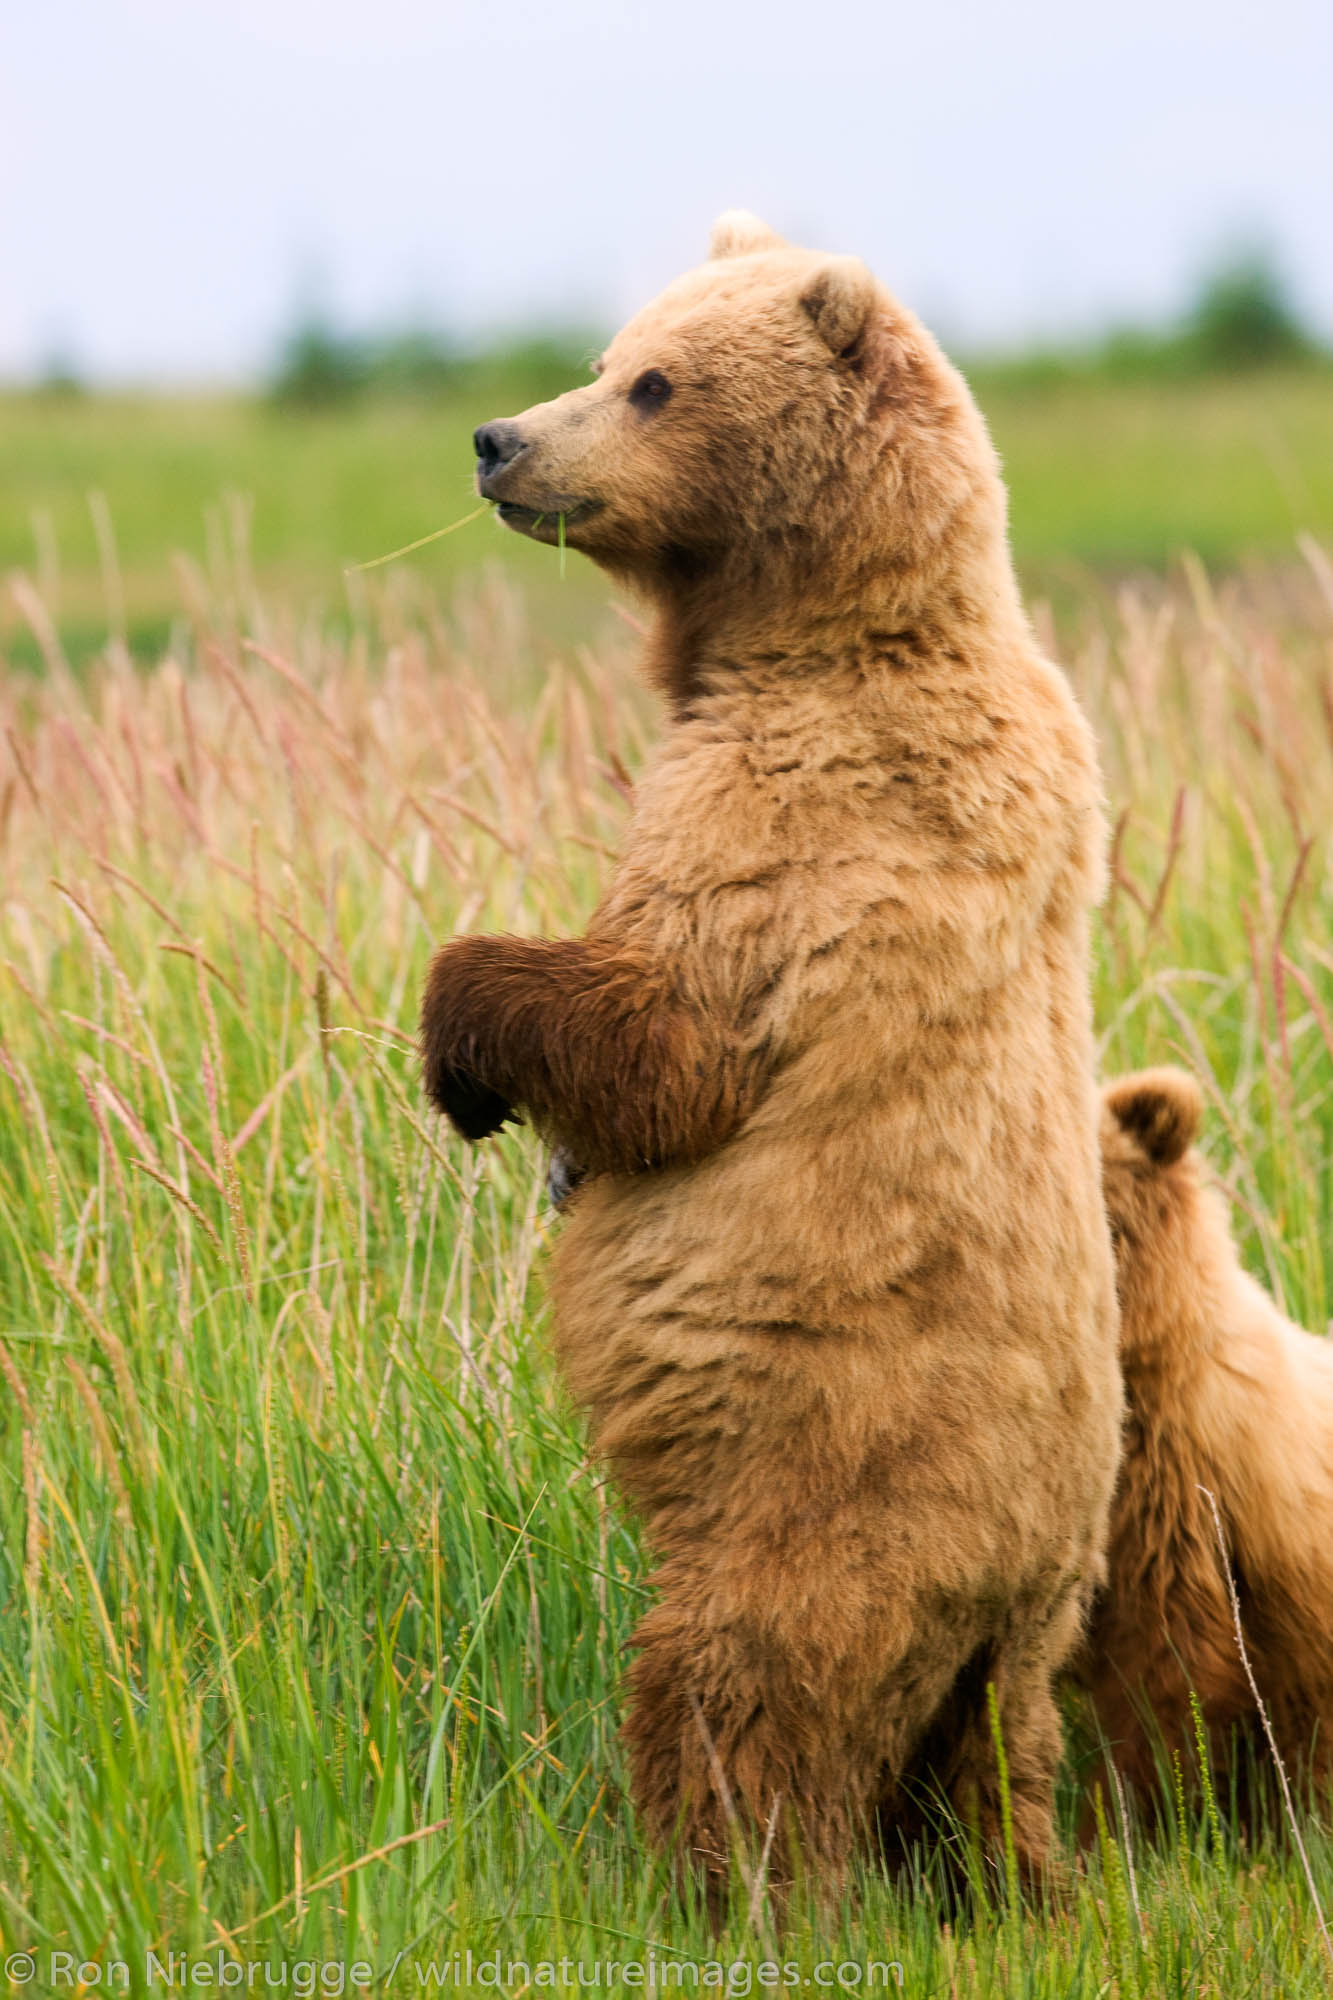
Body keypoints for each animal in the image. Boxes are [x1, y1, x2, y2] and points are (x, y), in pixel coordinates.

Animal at [420, 211, 1112, 1896]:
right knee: (1003, 1755)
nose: (497, 439)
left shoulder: (800, 805)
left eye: (655, 383)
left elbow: (665, 1040)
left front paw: (473, 1065)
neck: (815, 624)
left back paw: (715, 1875)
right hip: (1033, 1630)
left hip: (824, 1502)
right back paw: (1015, 1883)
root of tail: (1015, 1586)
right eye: (605, 353)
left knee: (737, 1678)